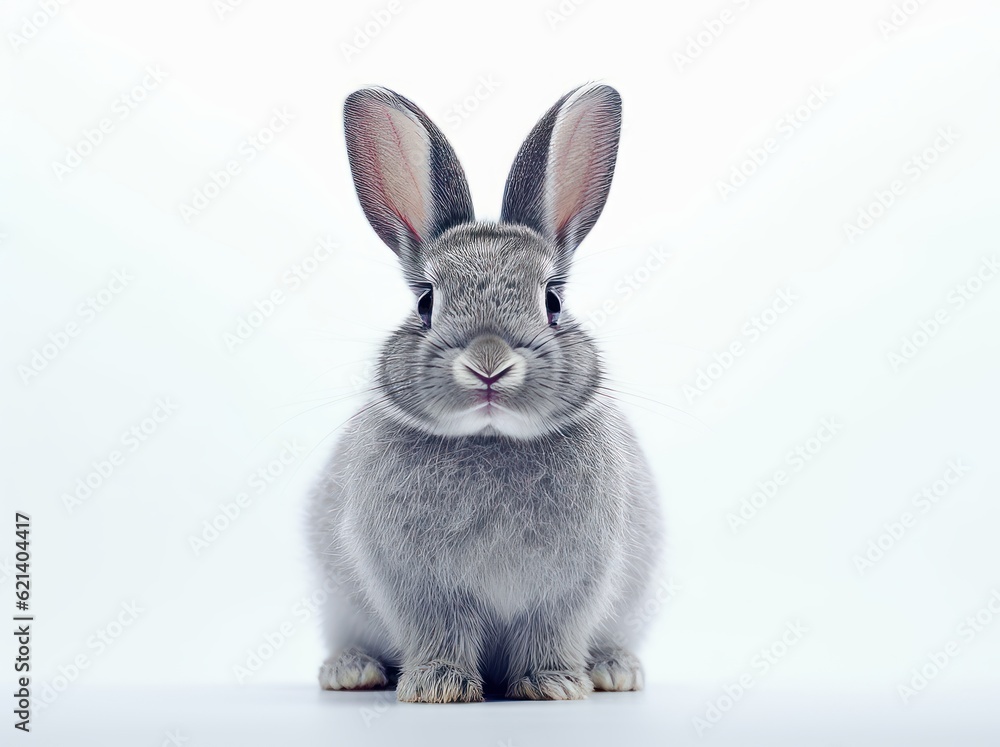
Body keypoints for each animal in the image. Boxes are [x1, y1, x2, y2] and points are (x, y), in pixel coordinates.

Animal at [307, 83, 664, 702]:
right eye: (426, 302)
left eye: (553, 301)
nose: (489, 365)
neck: (491, 440)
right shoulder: (420, 588)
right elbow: (440, 631)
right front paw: (437, 688)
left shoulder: (569, 586)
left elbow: (549, 630)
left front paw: (554, 685)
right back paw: (350, 671)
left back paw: (614, 671)